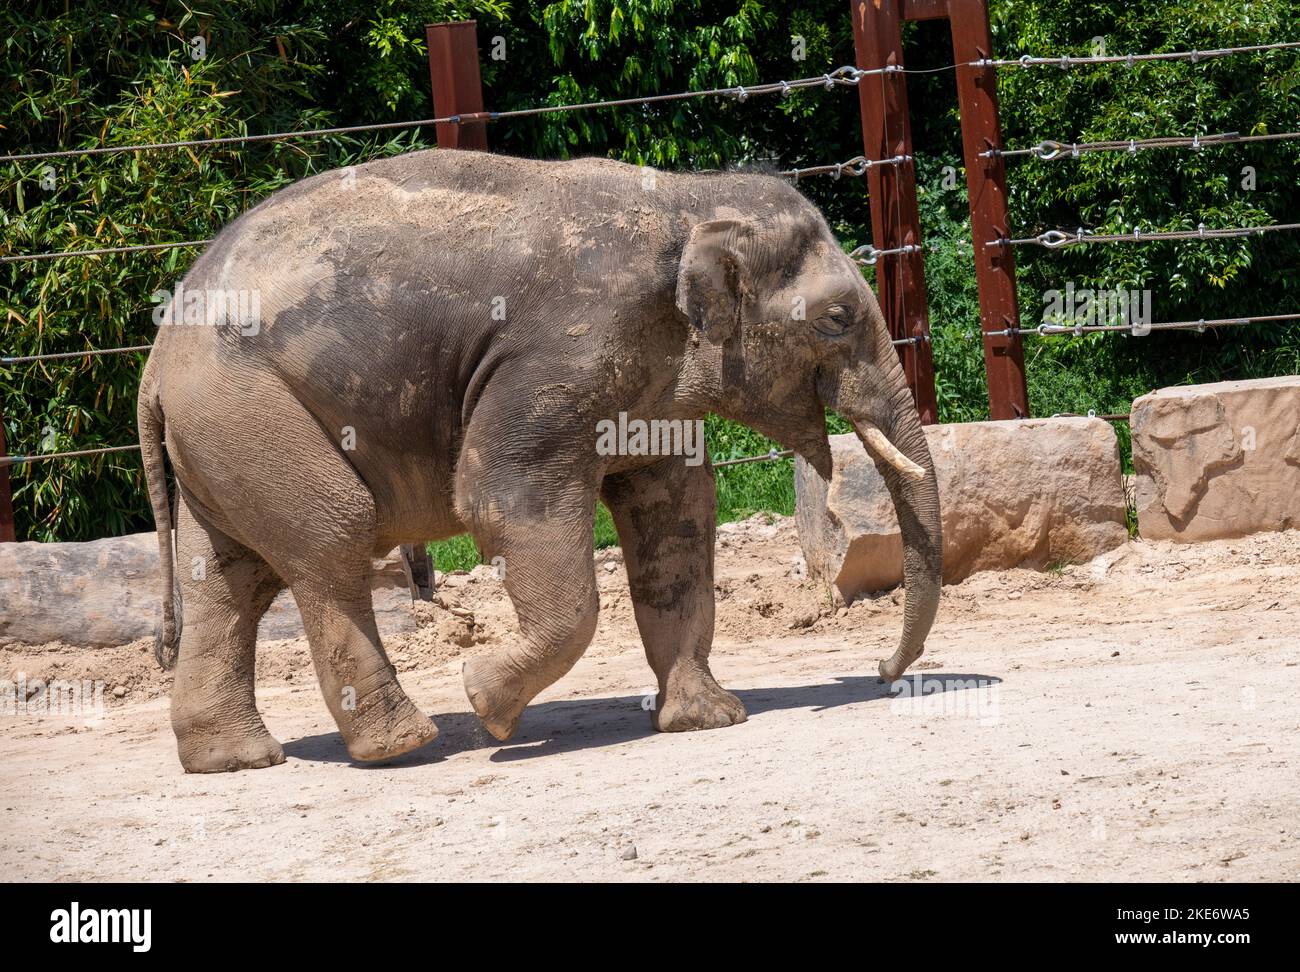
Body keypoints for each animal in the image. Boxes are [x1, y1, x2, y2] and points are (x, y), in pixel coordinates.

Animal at [137, 147, 942, 773]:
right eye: (837, 319)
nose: (881, 672)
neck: (690, 197)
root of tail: (155, 358)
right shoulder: (560, 353)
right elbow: (503, 498)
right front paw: (486, 702)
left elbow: (675, 511)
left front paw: (710, 719)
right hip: (250, 411)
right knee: (329, 539)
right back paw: (406, 744)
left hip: (223, 436)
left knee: (229, 577)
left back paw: (237, 758)